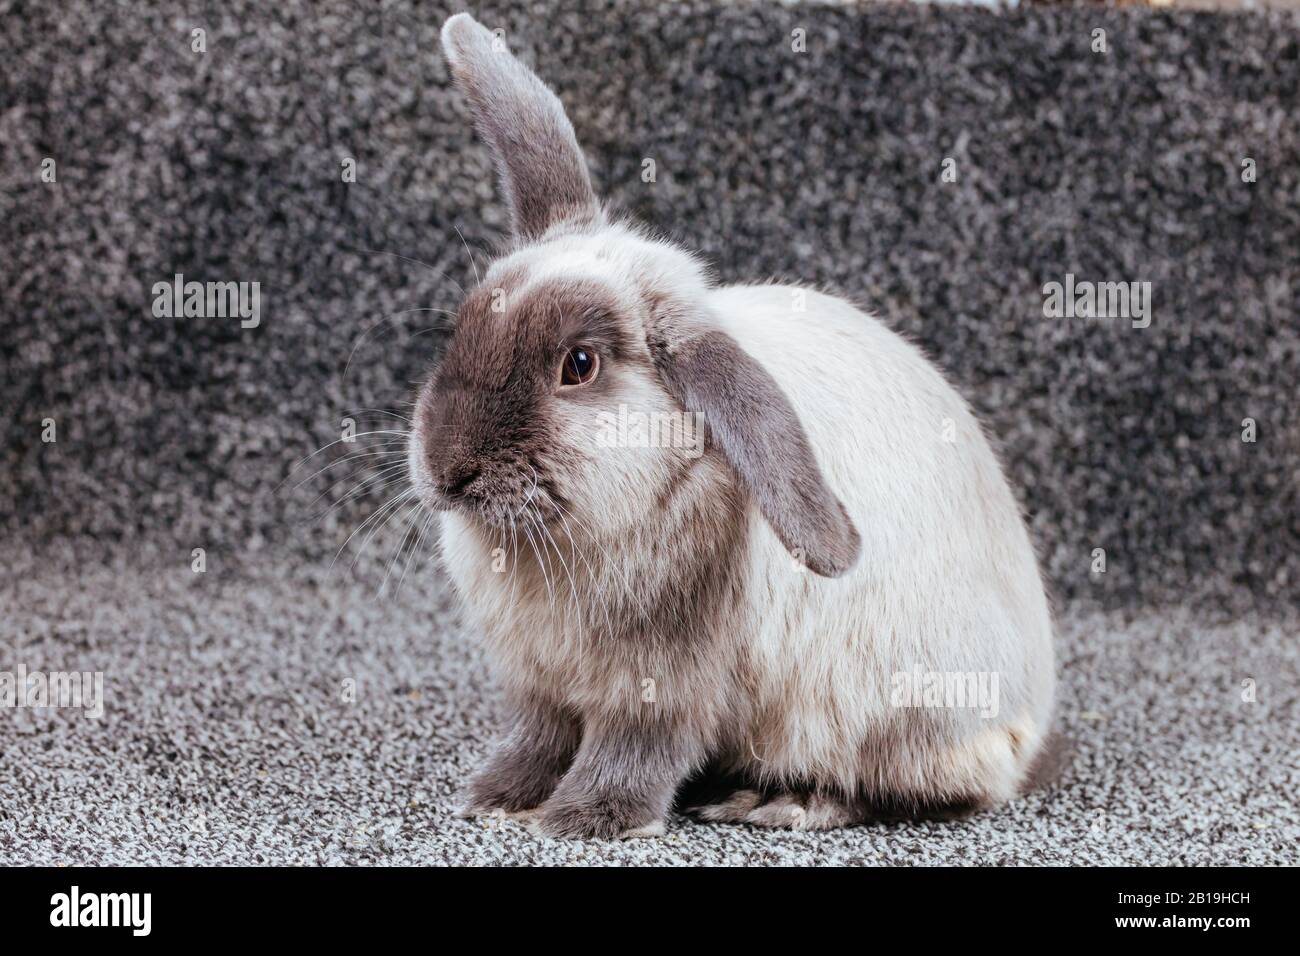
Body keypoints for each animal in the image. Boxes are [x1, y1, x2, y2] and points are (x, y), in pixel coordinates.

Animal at [408, 12, 1056, 839]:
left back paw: (784, 801)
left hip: (906, 718)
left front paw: (587, 819)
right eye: (461, 327)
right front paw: (498, 796)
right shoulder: (538, 688)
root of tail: (1031, 718)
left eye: (579, 364)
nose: (448, 469)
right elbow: (538, 738)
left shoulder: (663, 684)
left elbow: (636, 747)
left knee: (926, 791)